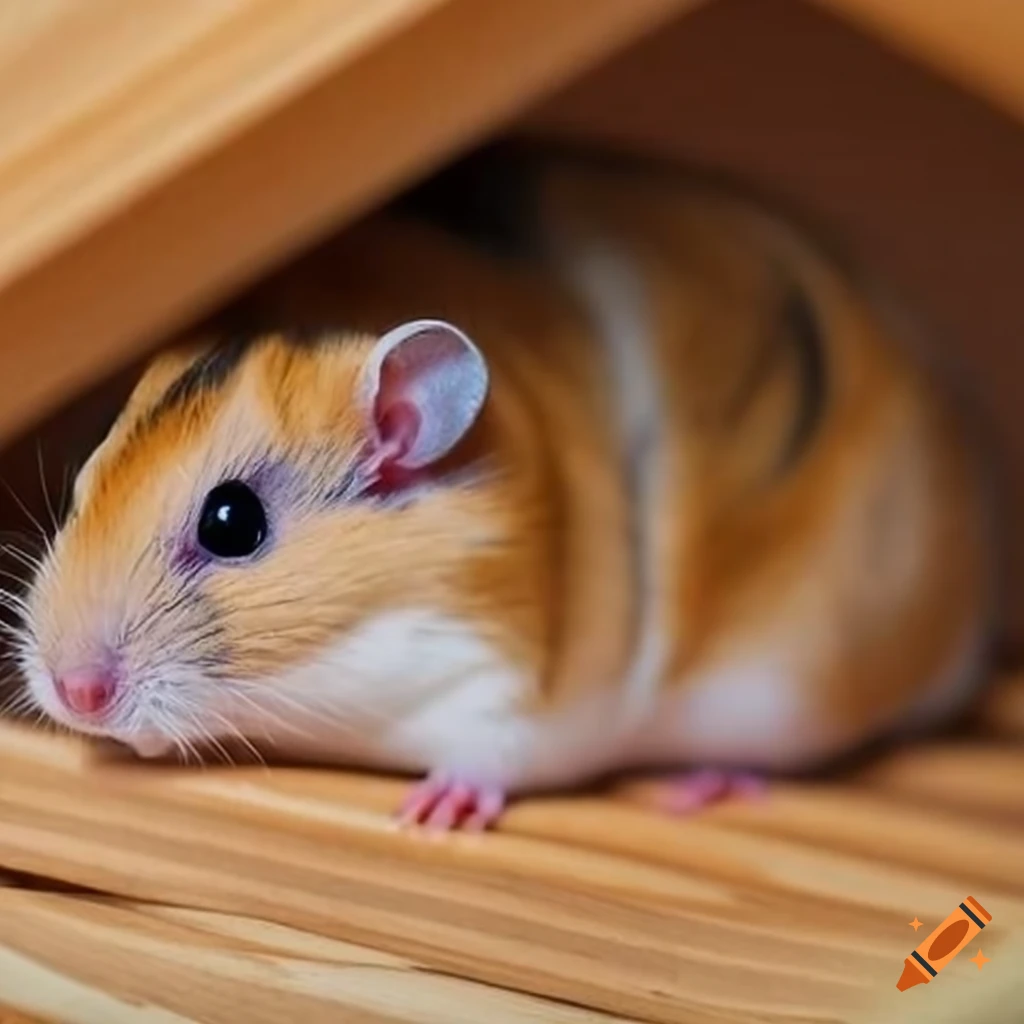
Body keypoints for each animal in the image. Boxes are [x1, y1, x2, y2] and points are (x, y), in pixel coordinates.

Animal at [16, 146, 997, 830]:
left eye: (232, 521)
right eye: (86, 473)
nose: (72, 694)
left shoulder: (514, 692)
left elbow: (489, 749)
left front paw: (431, 812)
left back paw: (700, 785)